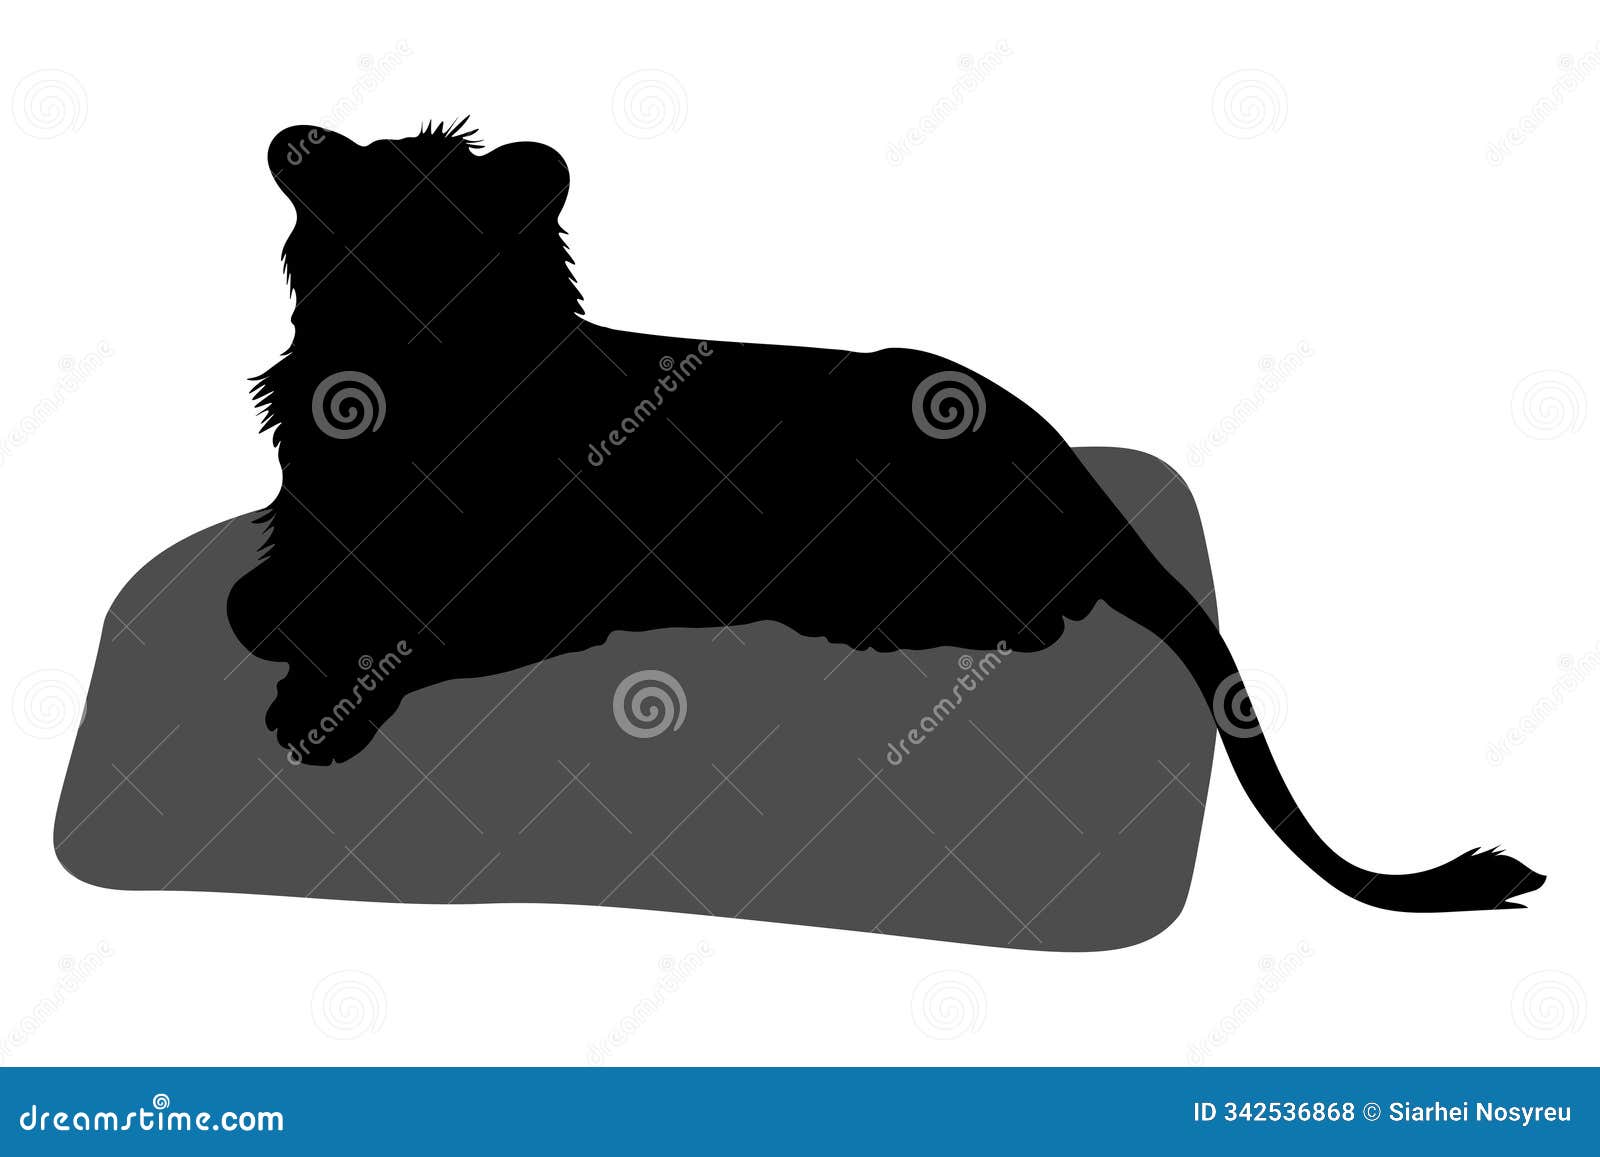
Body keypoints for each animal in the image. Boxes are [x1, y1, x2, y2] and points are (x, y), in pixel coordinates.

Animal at [228, 119, 1543, 913]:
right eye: (344, 170)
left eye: (386, 180)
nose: (293, 137)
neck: (388, 379)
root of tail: (1074, 470)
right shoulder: (310, 534)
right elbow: (260, 599)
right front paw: (292, 645)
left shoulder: (539, 590)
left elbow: (401, 631)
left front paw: (315, 713)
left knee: (1032, 617)